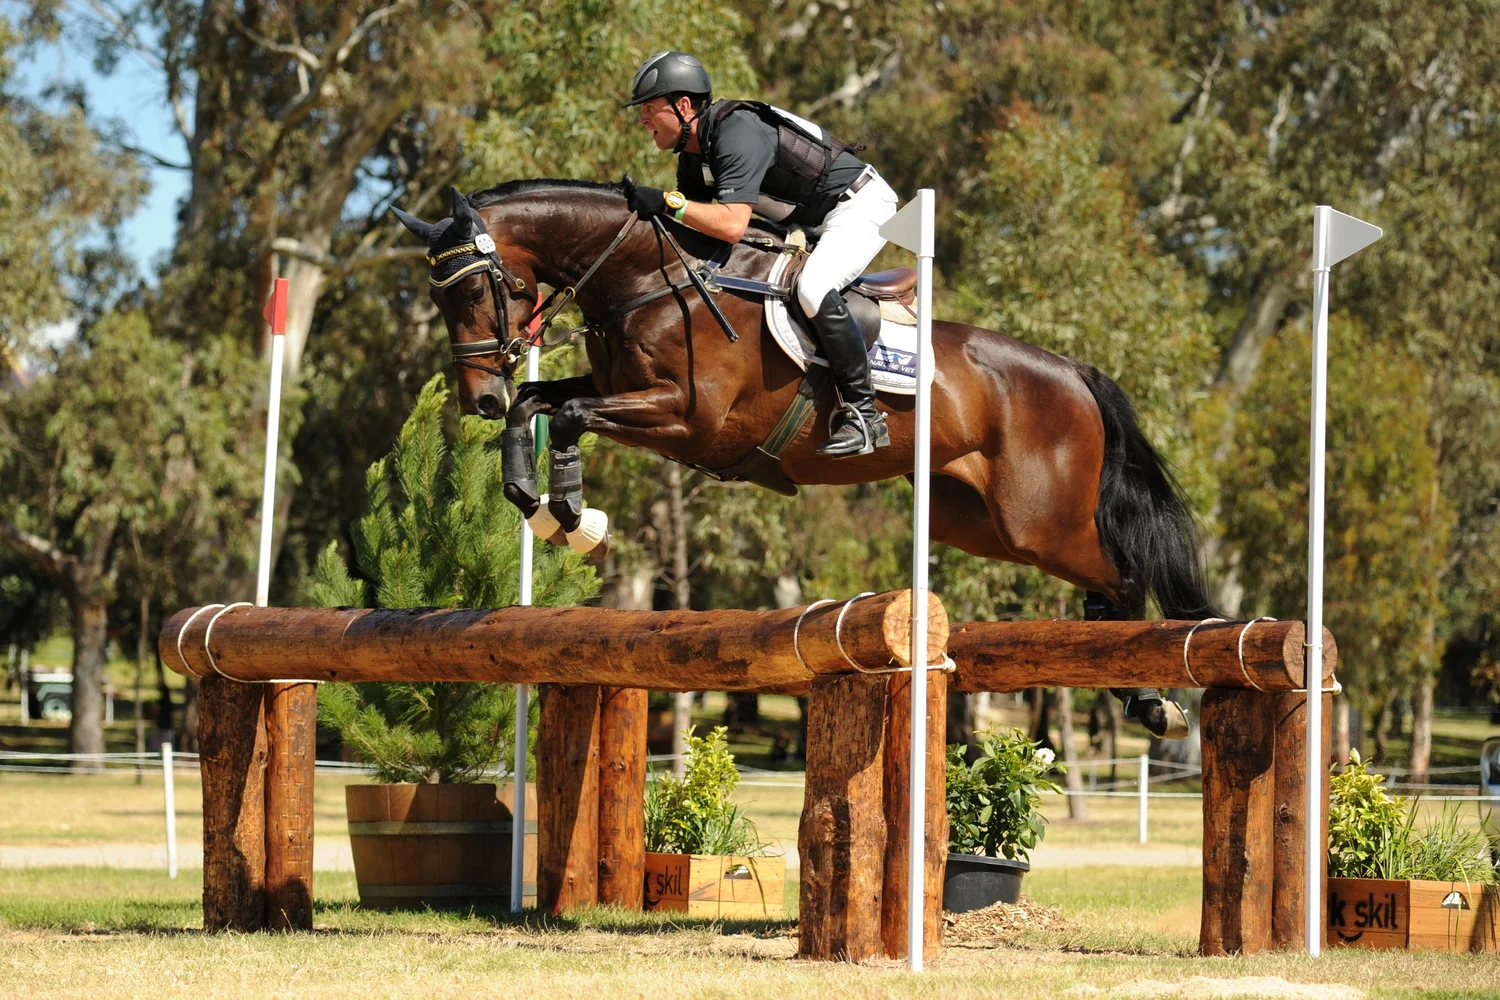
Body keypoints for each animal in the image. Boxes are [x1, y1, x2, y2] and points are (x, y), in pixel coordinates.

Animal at [391, 181, 1216, 738]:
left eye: (476, 289)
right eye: (437, 297)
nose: (479, 398)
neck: (649, 277)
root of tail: (1073, 370)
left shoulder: (685, 419)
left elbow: (563, 413)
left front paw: (569, 510)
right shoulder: (625, 393)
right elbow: (540, 404)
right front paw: (531, 497)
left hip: (1038, 521)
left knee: (1125, 572)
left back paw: (1151, 697)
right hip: (976, 523)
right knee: (1102, 582)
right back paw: (1136, 689)